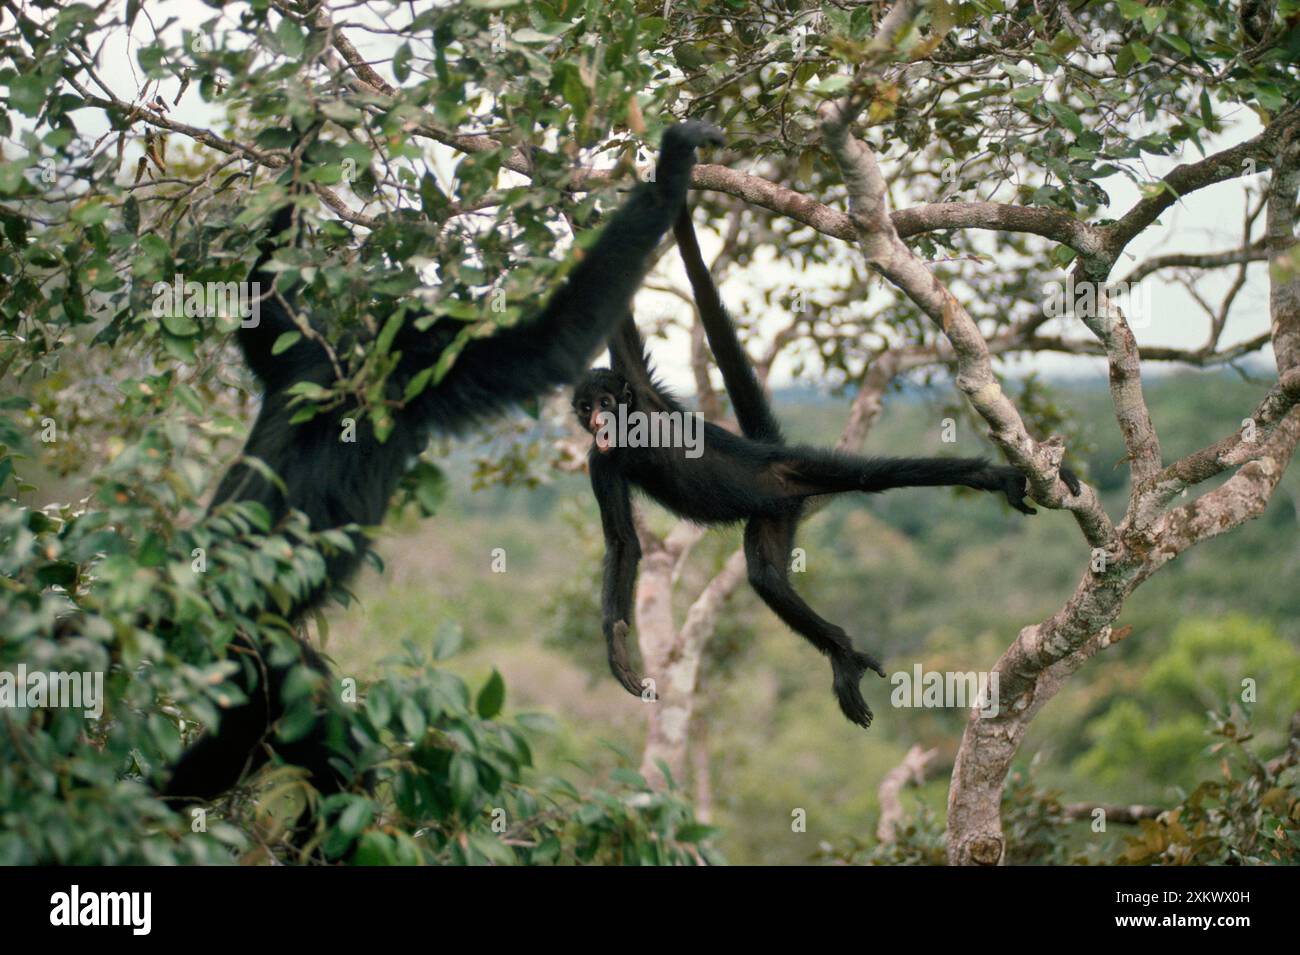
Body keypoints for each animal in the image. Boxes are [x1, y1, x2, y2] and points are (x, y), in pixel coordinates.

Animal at [159, 121, 727, 821]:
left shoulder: (299, 356)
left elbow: (259, 295)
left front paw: (306, 128)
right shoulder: (428, 375)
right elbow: (555, 336)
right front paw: (673, 167)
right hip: (253, 656)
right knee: (315, 740)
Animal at [571, 208, 1081, 728]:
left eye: (606, 402)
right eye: (585, 408)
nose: (596, 421)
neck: (632, 434)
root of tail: (771, 472)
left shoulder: (640, 389)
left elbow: (625, 328)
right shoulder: (600, 460)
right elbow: (623, 542)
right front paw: (616, 646)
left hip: (794, 471)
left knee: (869, 477)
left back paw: (994, 478)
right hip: (774, 514)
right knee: (767, 577)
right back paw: (841, 654)